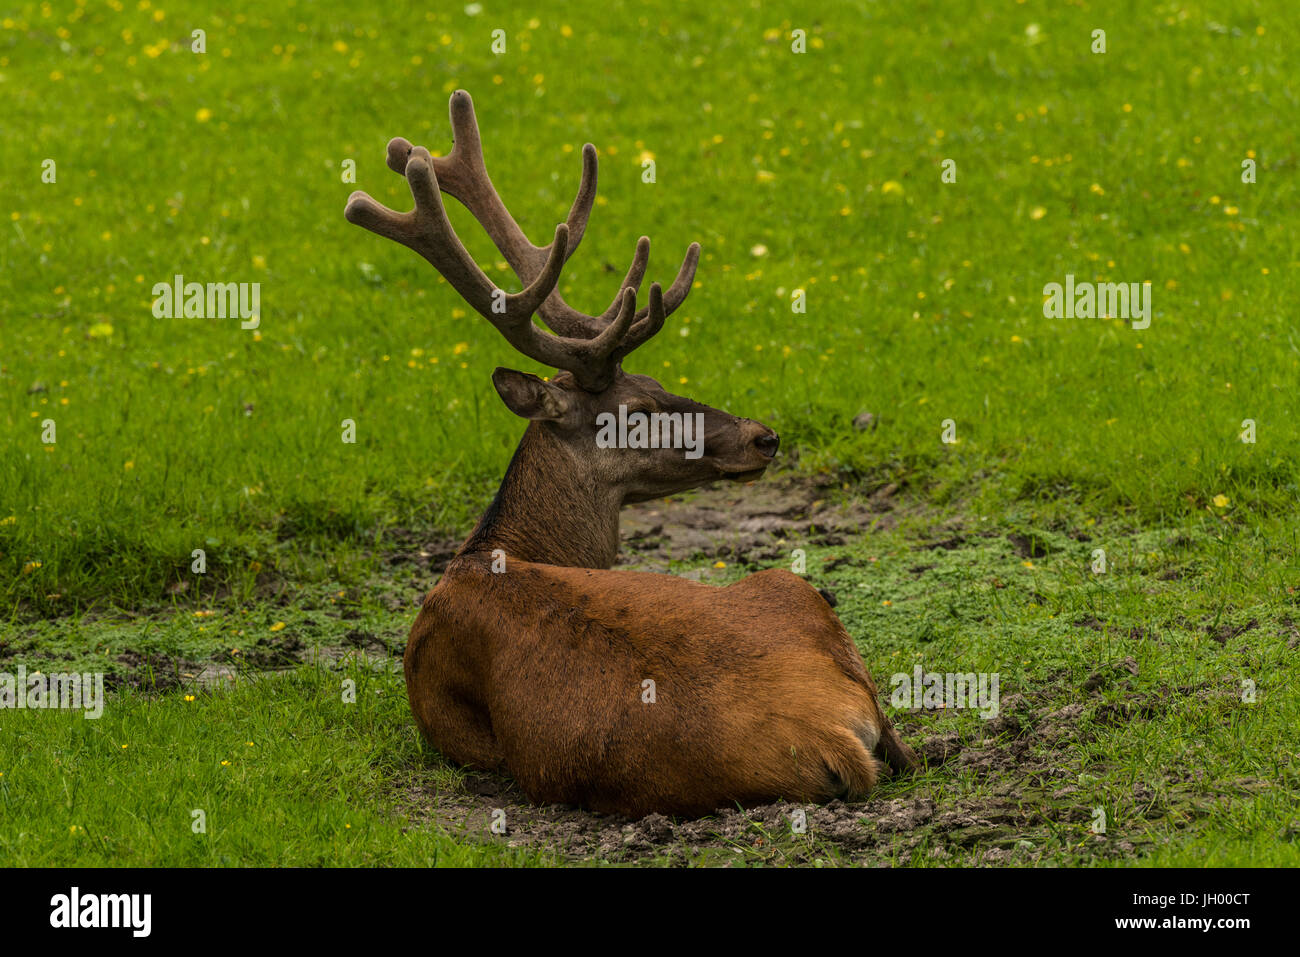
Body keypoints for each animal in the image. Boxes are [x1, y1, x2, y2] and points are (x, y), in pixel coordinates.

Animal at [345, 90, 919, 819]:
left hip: (783, 584)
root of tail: (833, 732)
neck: (489, 552)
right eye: (639, 410)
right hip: (789, 588)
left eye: (657, 379)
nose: (763, 435)